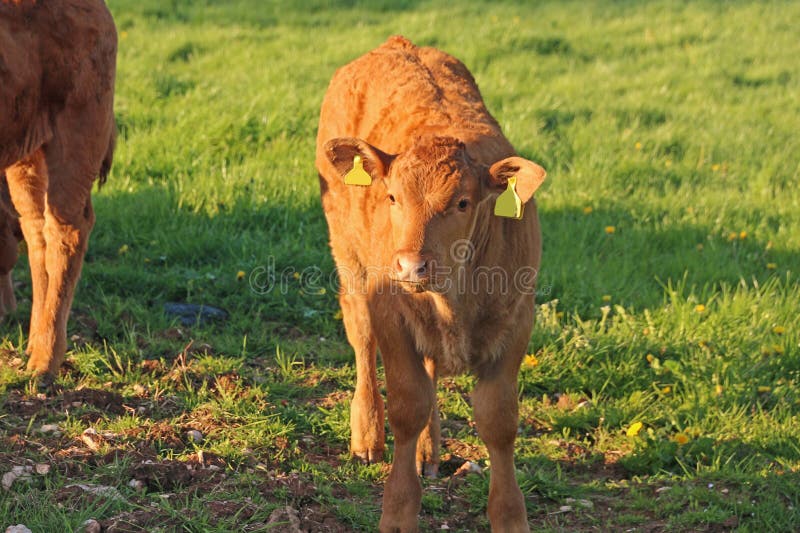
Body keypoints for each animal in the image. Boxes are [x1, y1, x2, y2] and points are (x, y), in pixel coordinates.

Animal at [0, 0, 117, 384]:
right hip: (27, 154)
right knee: (37, 232)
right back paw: (33, 348)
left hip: (76, 134)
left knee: (67, 229)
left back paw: (44, 362)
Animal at [316, 36, 546, 532]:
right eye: (391, 197)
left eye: (462, 202)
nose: (410, 267)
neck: (454, 298)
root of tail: (397, 44)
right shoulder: (391, 313)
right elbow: (407, 403)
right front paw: (398, 509)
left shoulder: (518, 318)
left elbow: (498, 420)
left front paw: (509, 514)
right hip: (348, 257)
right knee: (361, 340)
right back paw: (367, 434)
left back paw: (429, 450)